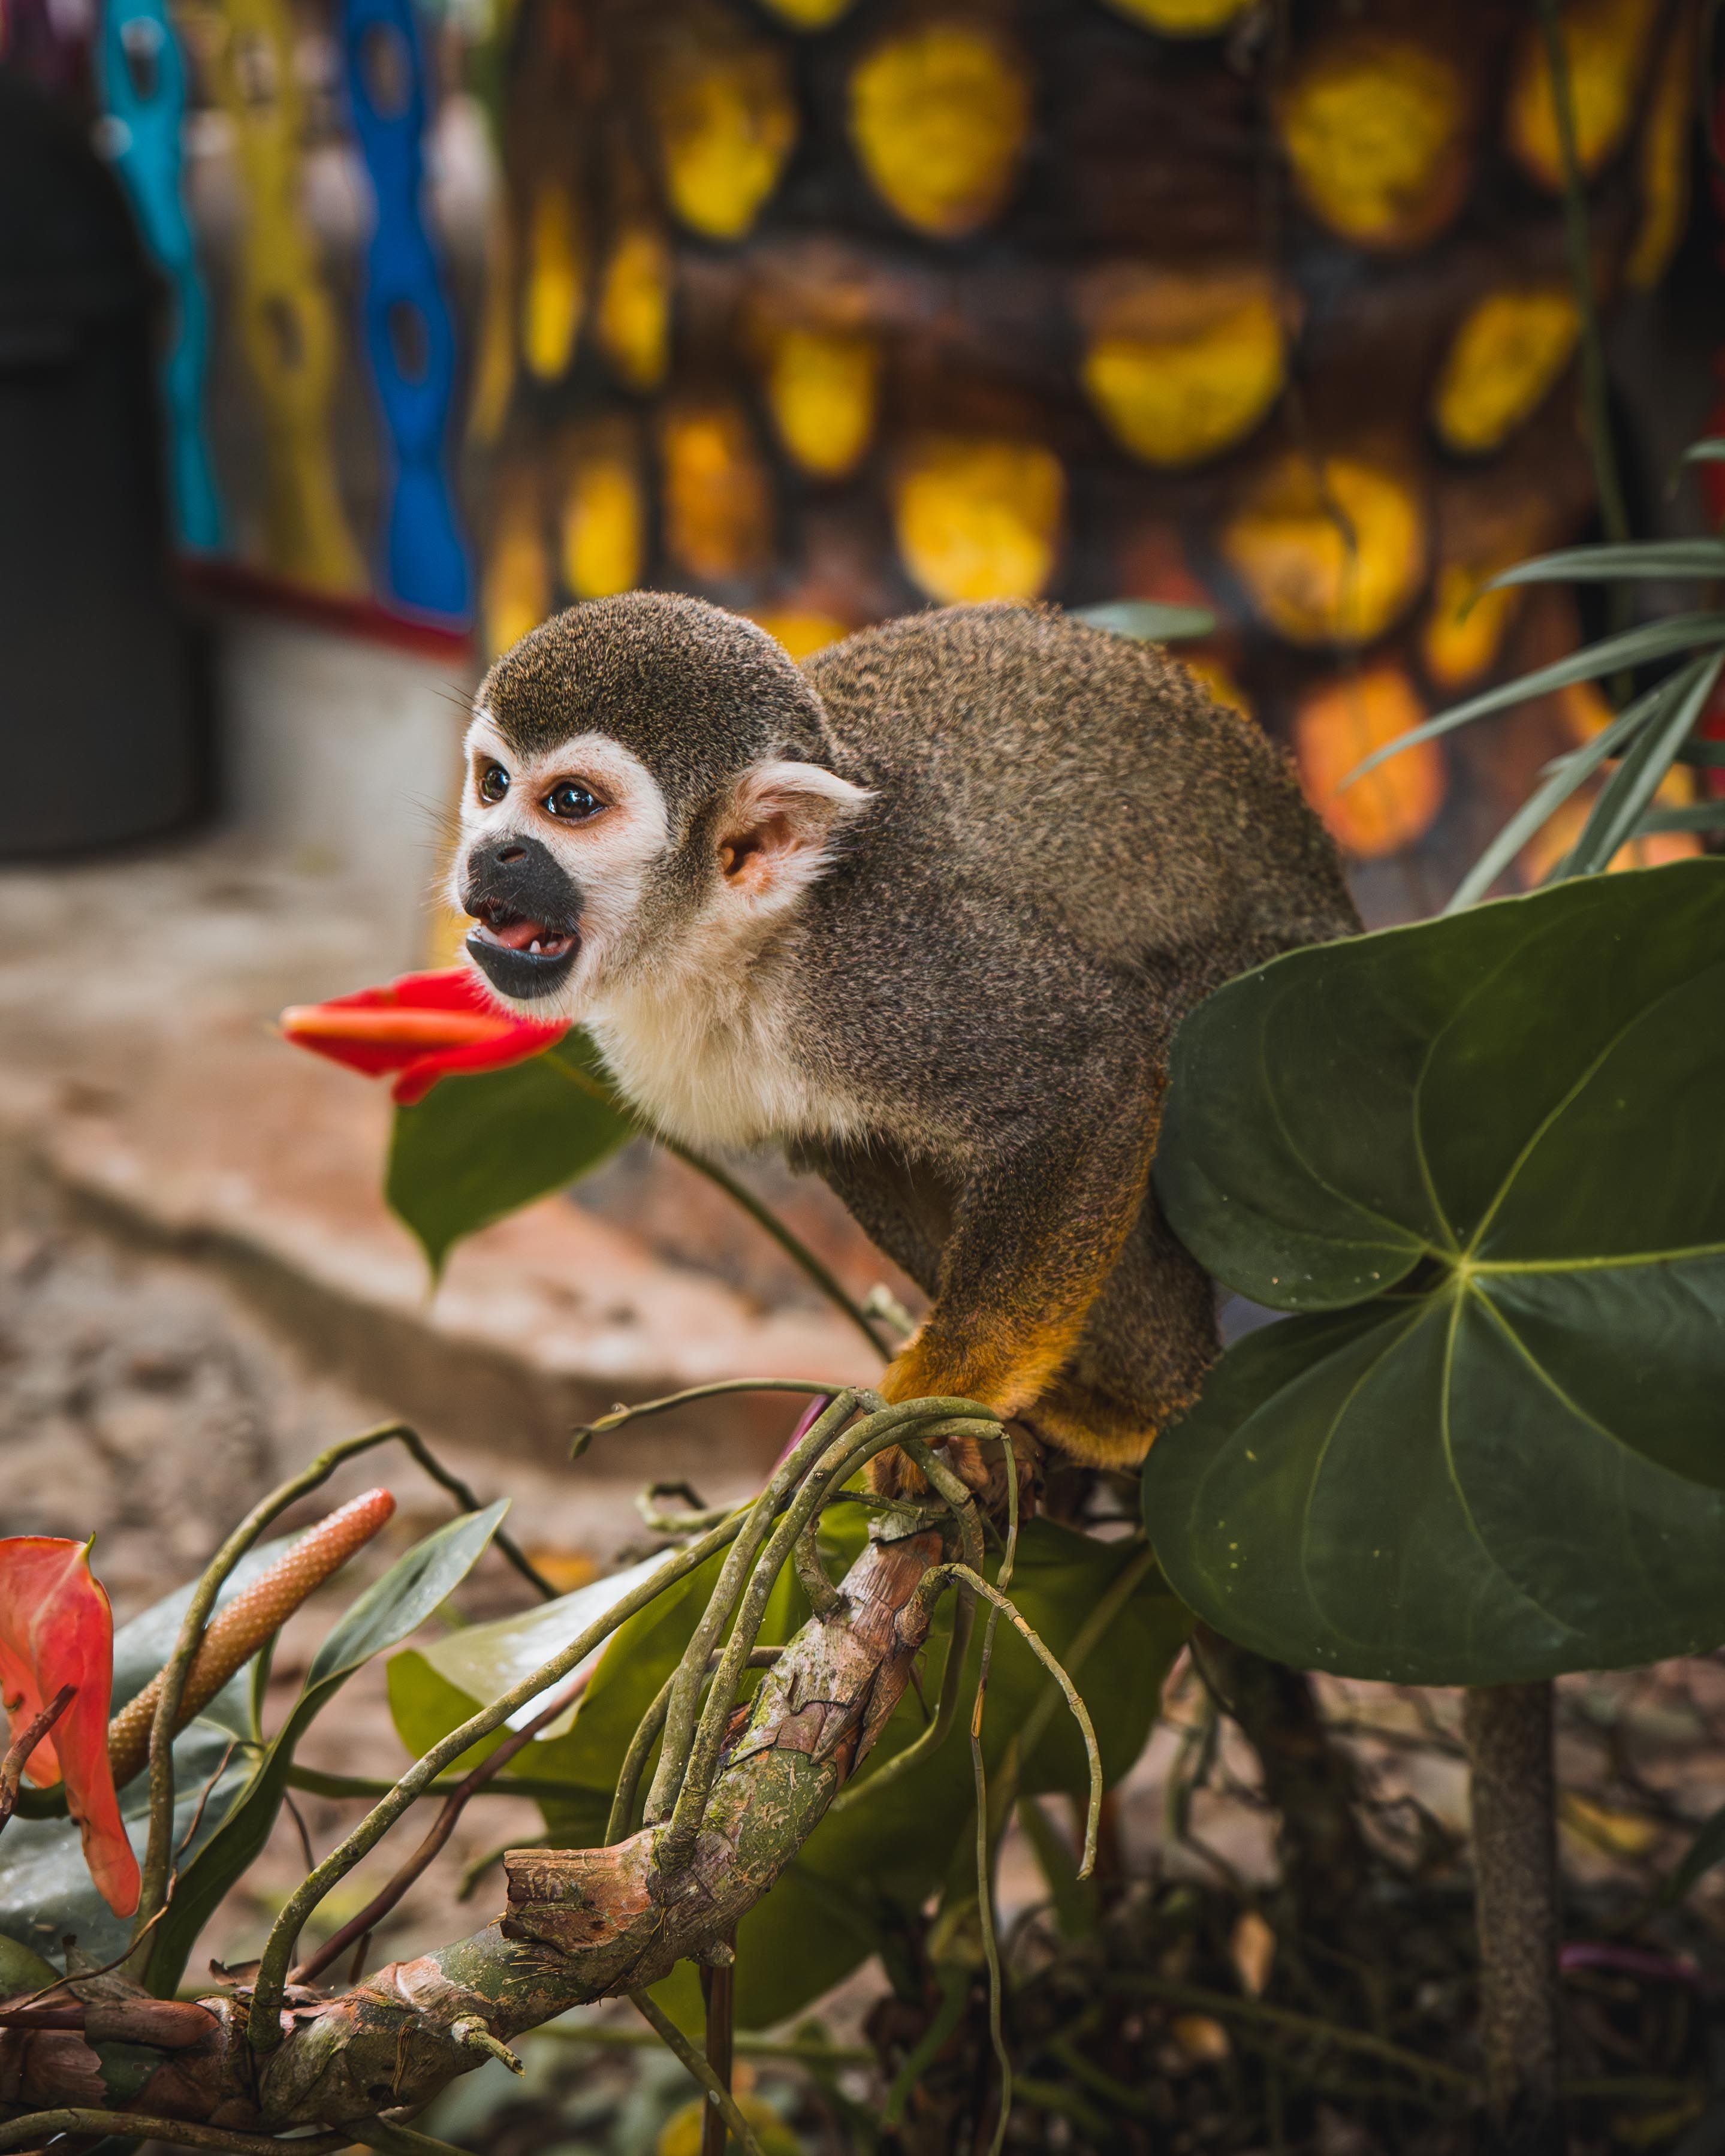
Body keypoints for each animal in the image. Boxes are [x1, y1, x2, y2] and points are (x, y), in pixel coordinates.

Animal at [453, 591, 1359, 1481]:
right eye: (494, 785)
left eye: (571, 804)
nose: (491, 853)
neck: (746, 941)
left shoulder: (883, 970)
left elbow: (1092, 1069)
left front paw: (936, 1391)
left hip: (1265, 1030)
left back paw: (1140, 1416)